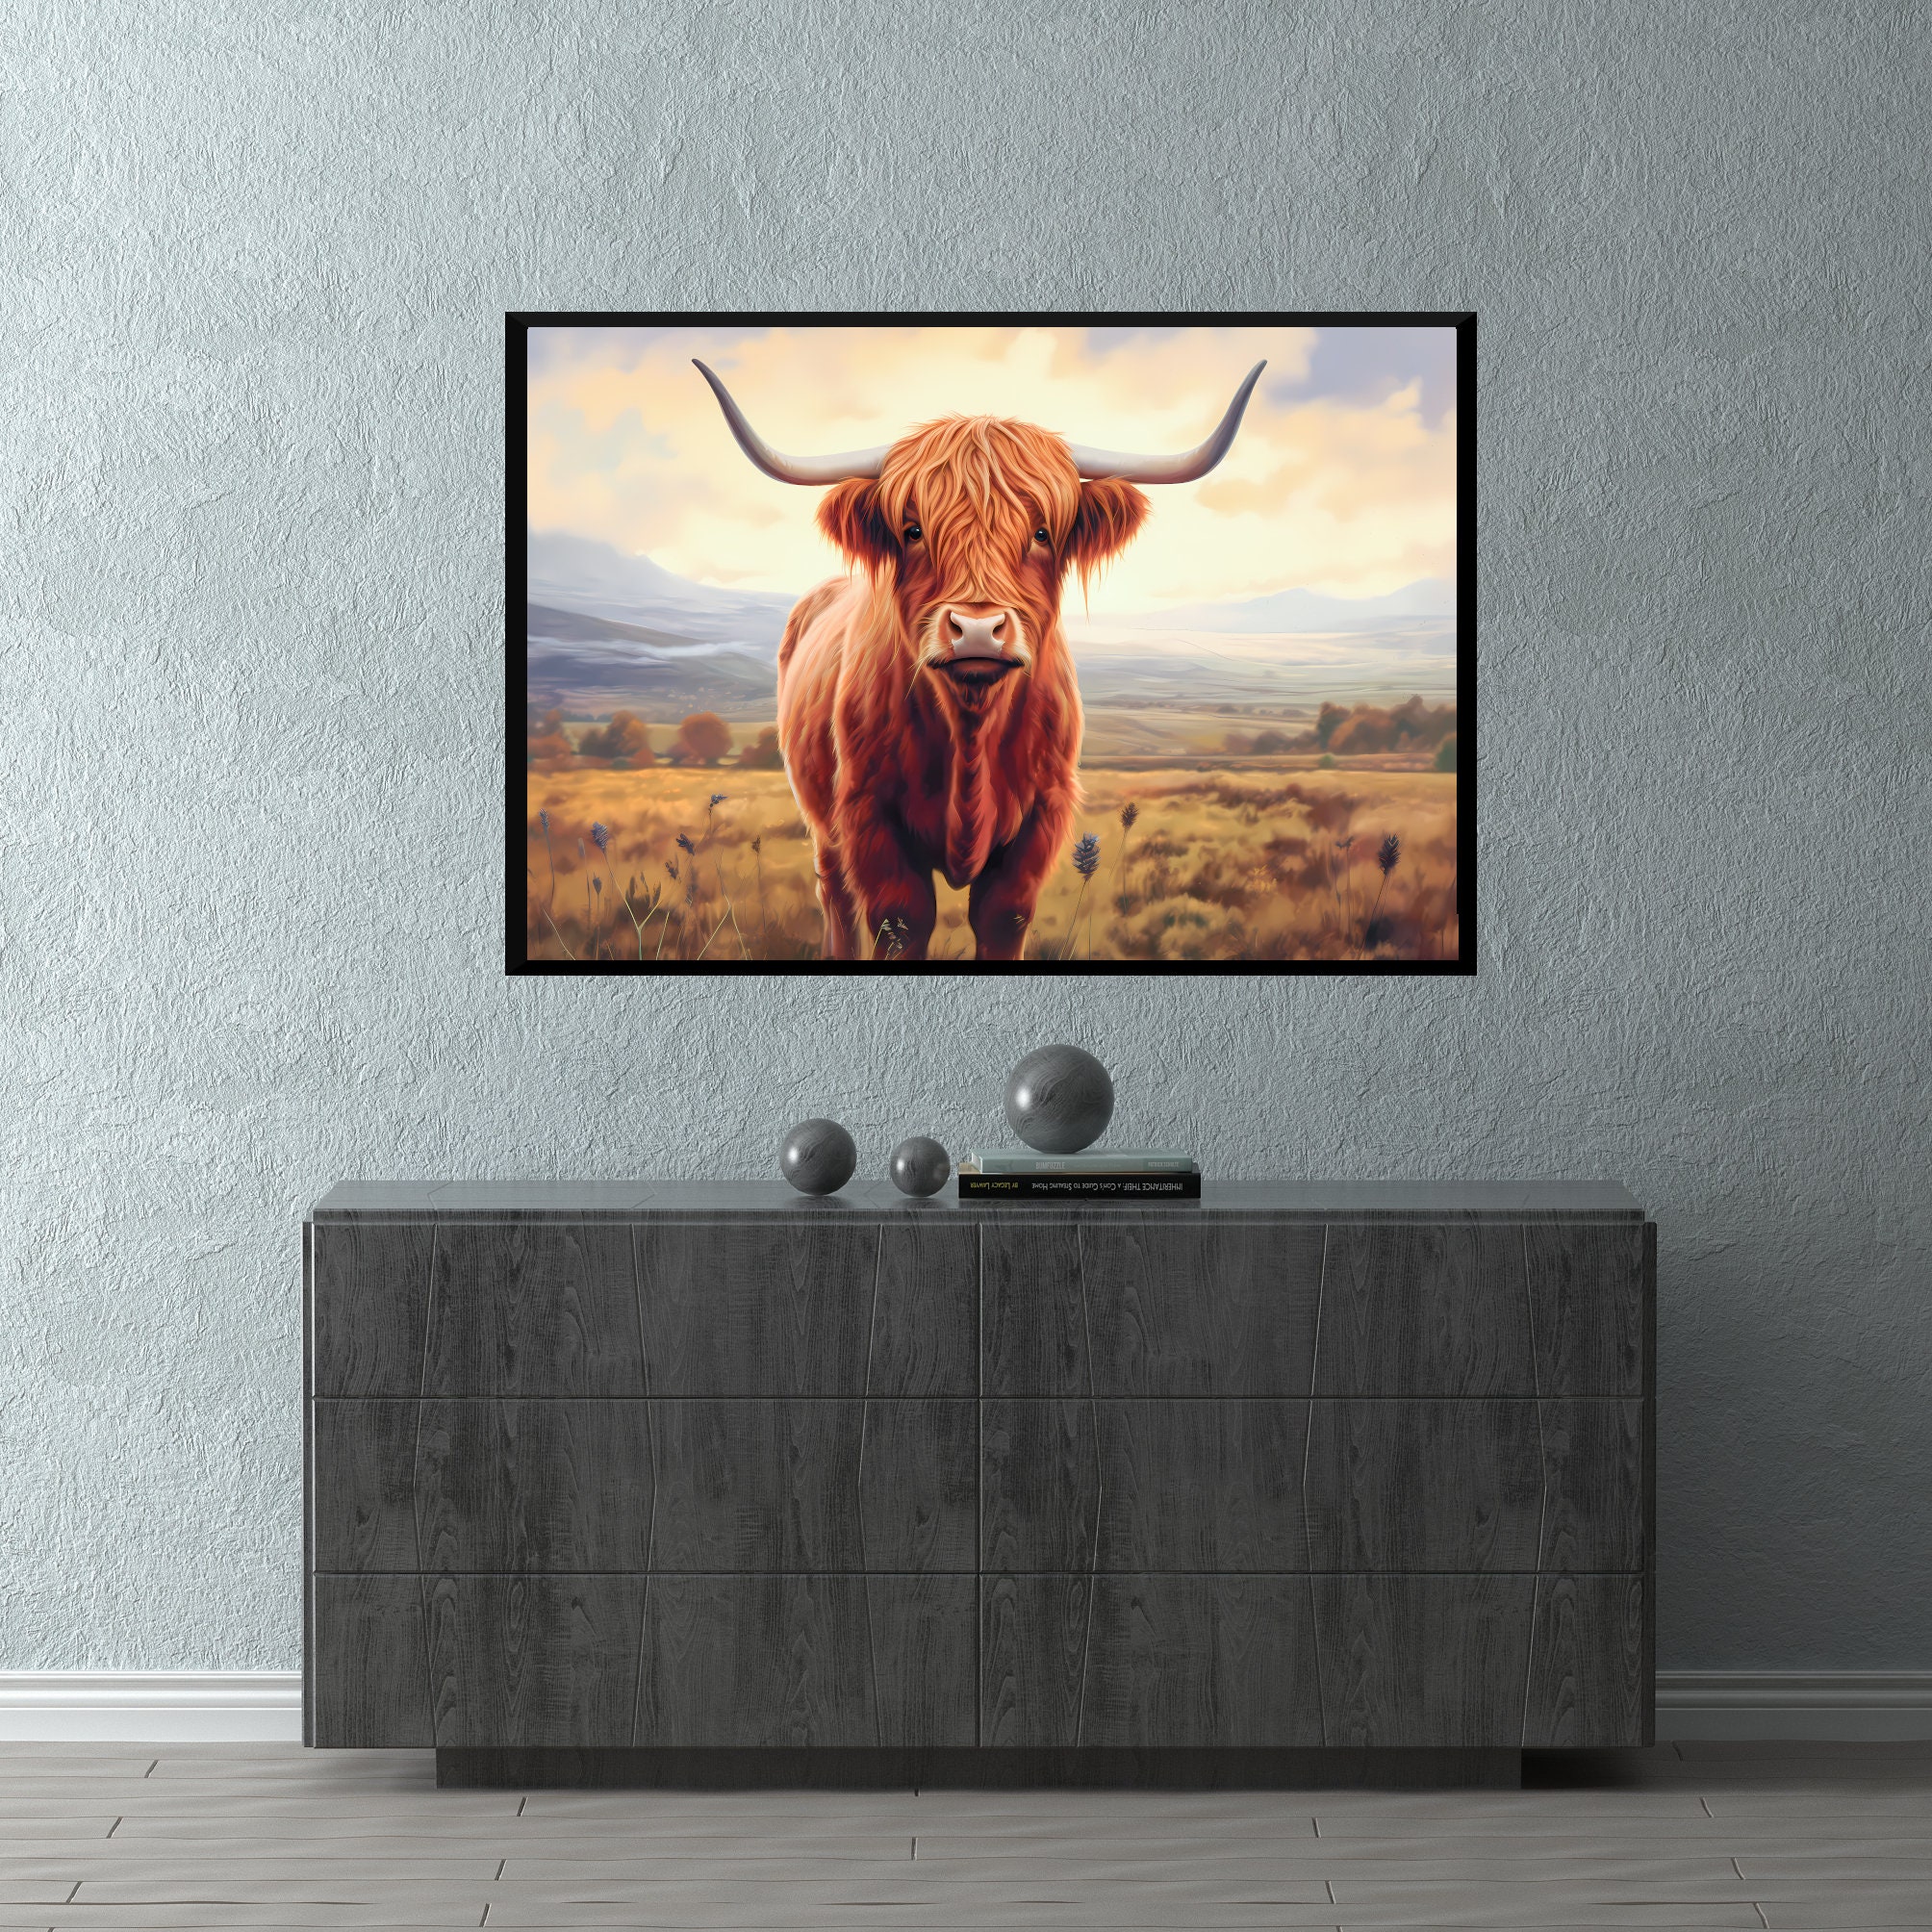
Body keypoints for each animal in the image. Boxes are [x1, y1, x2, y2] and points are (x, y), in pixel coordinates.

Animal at [694, 357, 1265, 961]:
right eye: (913, 530)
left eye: (1042, 532)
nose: (975, 630)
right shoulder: (868, 815)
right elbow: (900, 921)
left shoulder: (1042, 816)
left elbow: (1002, 918)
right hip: (822, 818)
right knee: (835, 893)